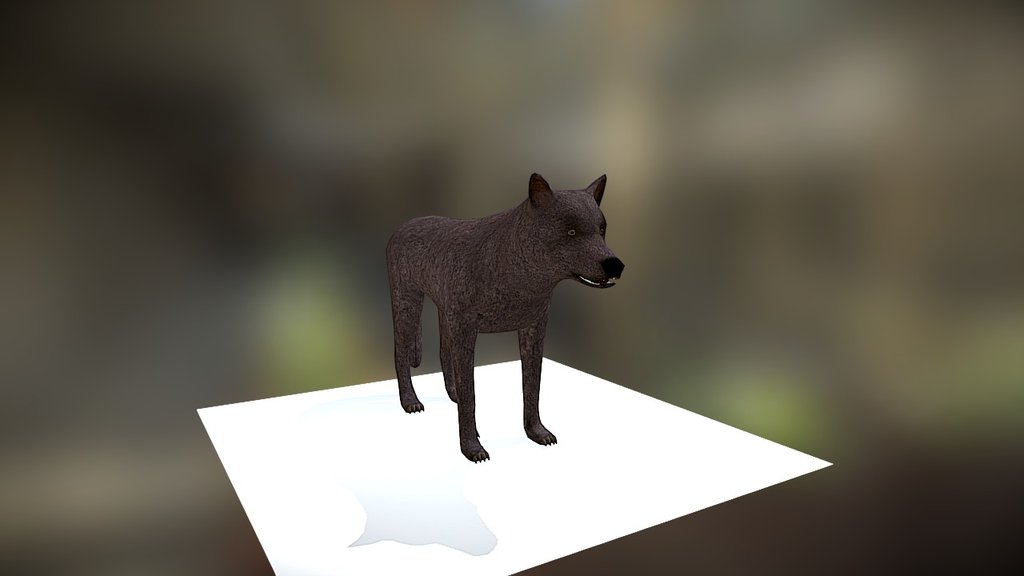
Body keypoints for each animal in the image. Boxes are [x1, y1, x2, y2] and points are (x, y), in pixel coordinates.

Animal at [386, 173, 625, 462]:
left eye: (601, 230)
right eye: (571, 232)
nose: (615, 265)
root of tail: (403, 226)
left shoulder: (534, 328)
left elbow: (532, 387)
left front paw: (537, 433)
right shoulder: (466, 329)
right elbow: (472, 395)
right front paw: (472, 449)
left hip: (444, 313)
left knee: (444, 354)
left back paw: (452, 395)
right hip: (408, 305)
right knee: (400, 352)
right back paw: (410, 402)